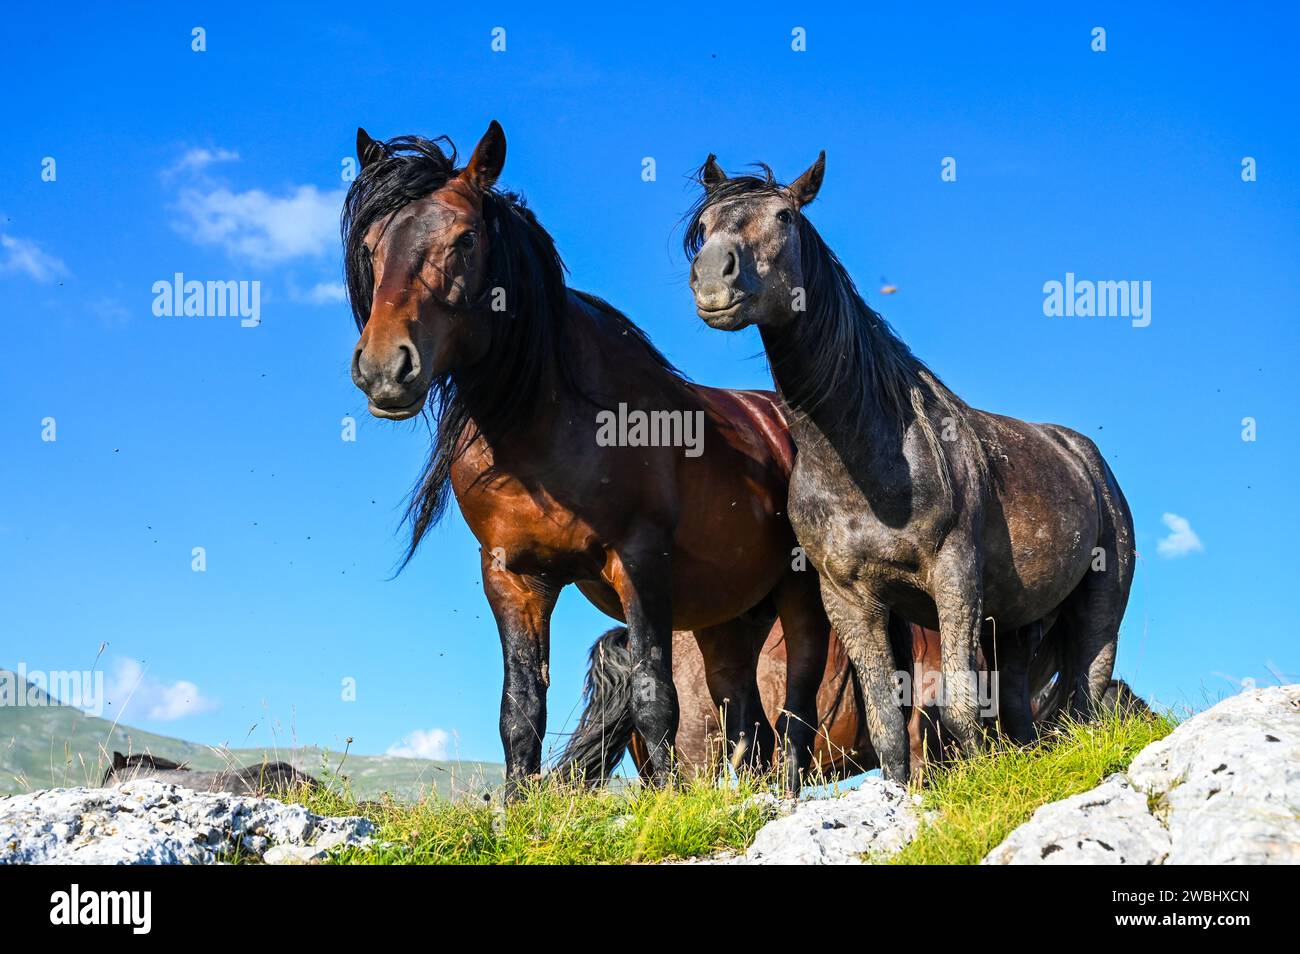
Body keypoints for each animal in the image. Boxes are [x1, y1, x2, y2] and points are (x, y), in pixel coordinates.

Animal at [345, 121, 834, 794]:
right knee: (747, 720)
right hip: (728, 621)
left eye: (465, 239)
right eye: (371, 244)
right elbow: (521, 708)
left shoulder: (639, 562)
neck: (548, 426)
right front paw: (518, 807)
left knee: (798, 710)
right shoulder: (513, 578)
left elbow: (655, 698)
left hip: (801, 596)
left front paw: (668, 804)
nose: (384, 368)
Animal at [682, 153, 1136, 781]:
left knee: (1092, 686)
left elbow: (962, 709)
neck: (868, 462)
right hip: (1018, 621)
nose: (711, 277)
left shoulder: (954, 577)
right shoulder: (850, 600)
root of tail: (1083, 456)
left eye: (784, 216)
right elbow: (887, 726)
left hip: (1101, 597)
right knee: (1022, 703)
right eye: (704, 225)